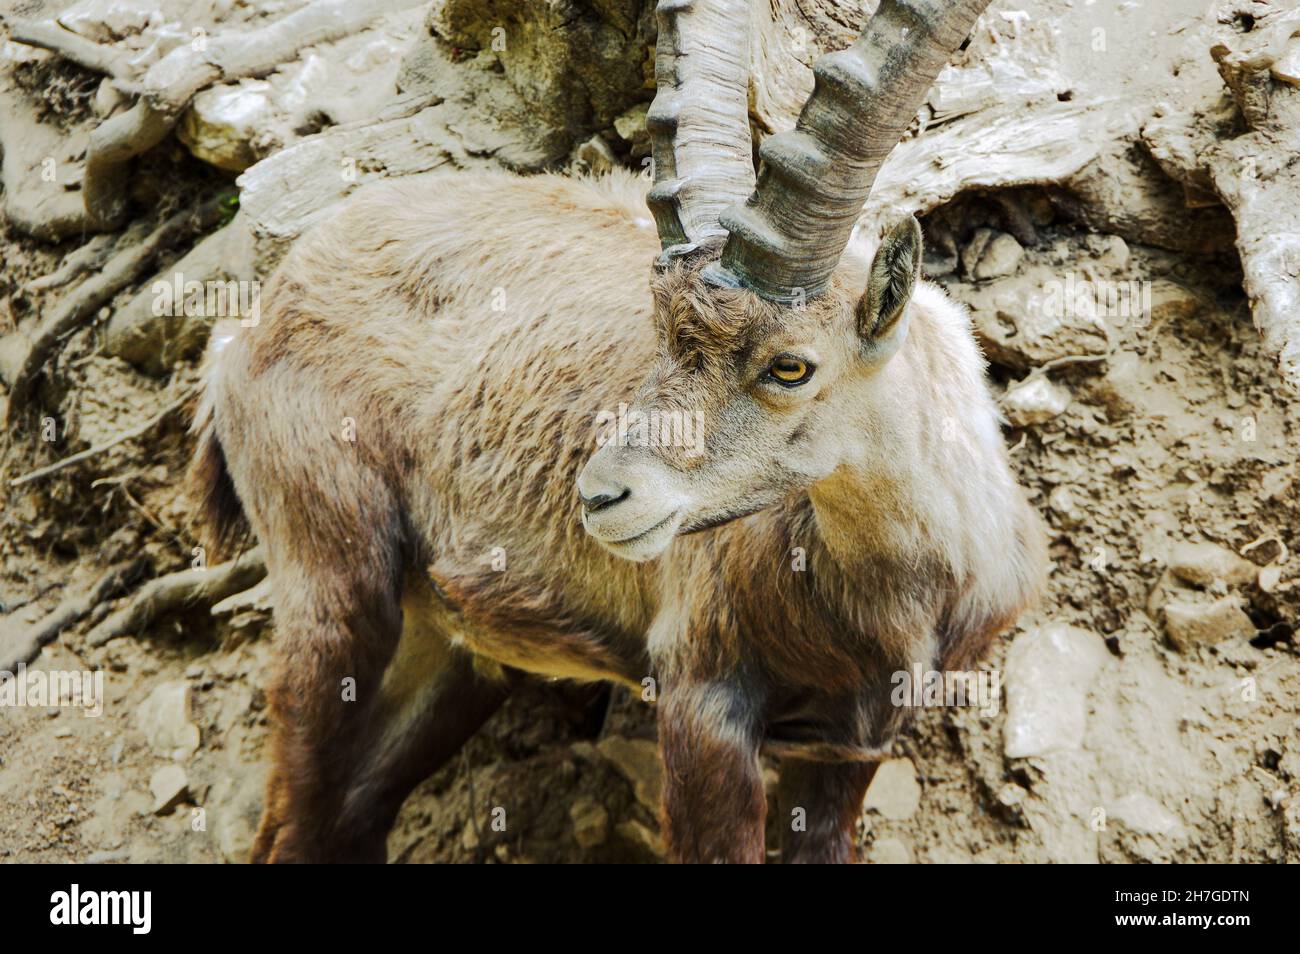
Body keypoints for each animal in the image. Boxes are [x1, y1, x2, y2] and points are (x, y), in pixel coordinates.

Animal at [189, 0, 1046, 863]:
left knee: (354, 810)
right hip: (334, 582)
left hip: (446, 648)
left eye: (790, 366)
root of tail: (251, 321)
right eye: (660, 331)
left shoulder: (851, 747)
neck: (900, 589)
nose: (602, 497)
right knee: (294, 815)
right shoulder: (703, 697)